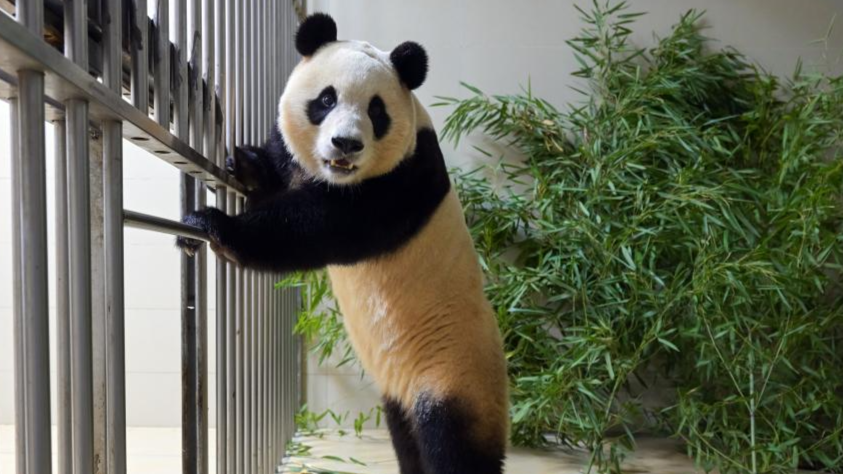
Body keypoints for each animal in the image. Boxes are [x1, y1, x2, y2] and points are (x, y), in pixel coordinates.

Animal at [177, 13, 509, 474]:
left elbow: (318, 228)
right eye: (326, 99)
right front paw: (245, 163)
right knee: (407, 437)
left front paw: (211, 224)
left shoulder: (404, 180)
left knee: (451, 443)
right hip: (402, 392)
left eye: (376, 110)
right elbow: (278, 171)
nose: (346, 144)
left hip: (455, 371)